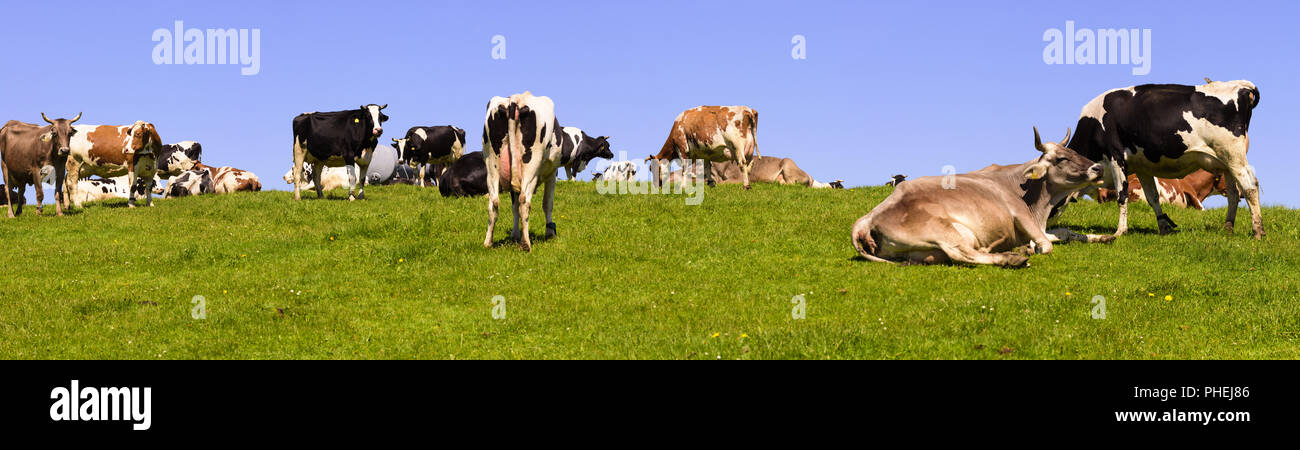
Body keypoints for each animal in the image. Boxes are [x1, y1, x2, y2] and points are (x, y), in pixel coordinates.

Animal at [851, 128, 1112, 267]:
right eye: (1061, 159)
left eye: (1074, 152)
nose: (1098, 168)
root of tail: (866, 219)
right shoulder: (1020, 215)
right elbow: (1045, 245)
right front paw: (1027, 249)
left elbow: (1066, 233)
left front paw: (1103, 237)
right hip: (947, 231)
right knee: (963, 253)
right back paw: (1011, 258)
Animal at [1061, 80, 1263, 238]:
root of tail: (1239, 85)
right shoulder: (1141, 167)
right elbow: (1153, 198)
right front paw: (1164, 226)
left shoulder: (1115, 156)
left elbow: (1121, 195)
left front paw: (1120, 231)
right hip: (1226, 162)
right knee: (1234, 194)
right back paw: (1228, 228)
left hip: (1233, 156)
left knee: (1250, 186)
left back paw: (1258, 231)